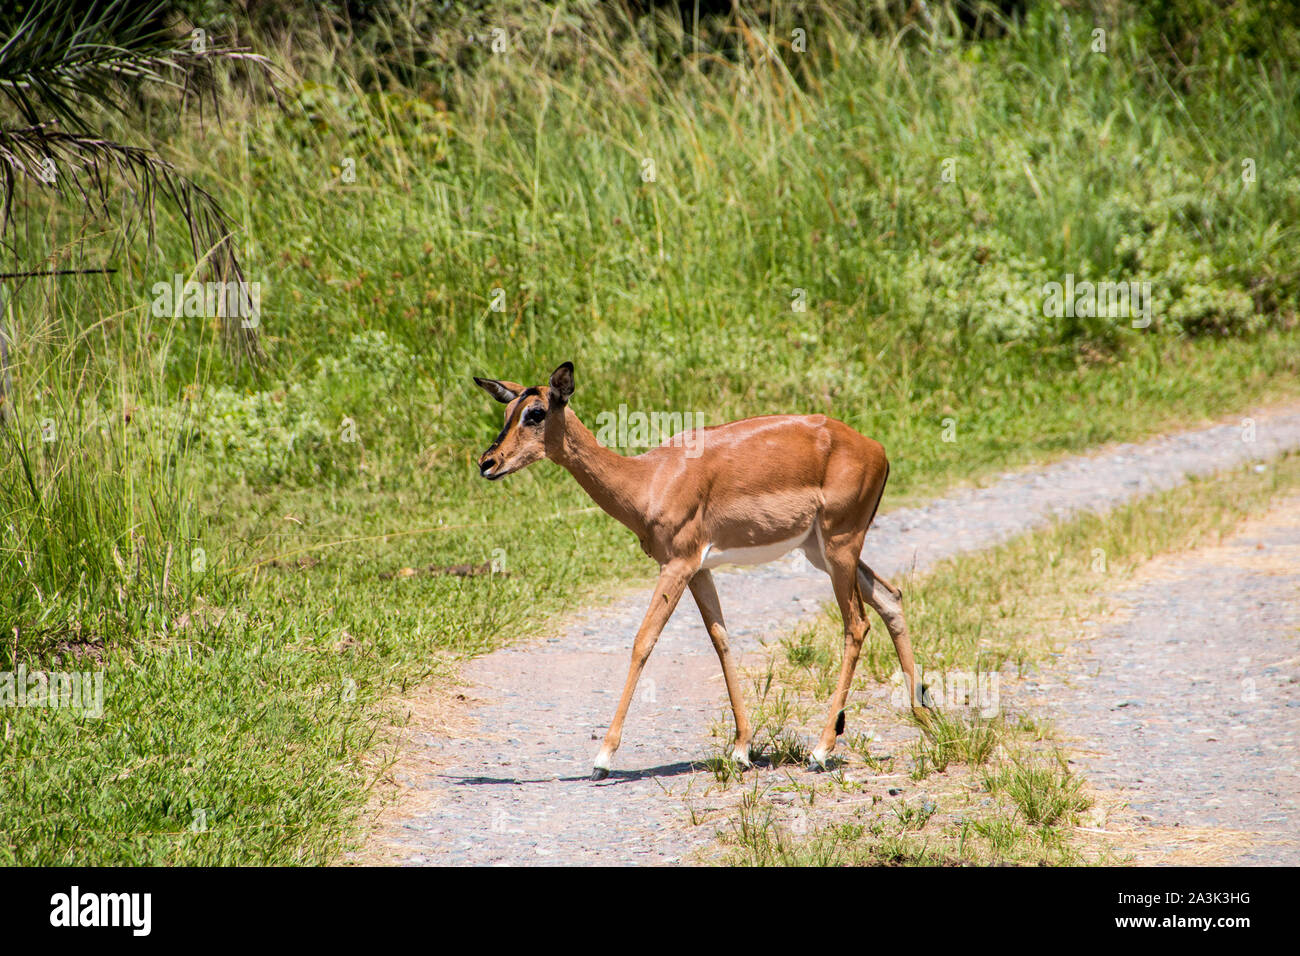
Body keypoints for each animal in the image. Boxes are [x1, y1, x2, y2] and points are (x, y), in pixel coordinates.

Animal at [475, 362, 927, 780]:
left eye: (536, 412)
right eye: (507, 411)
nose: (487, 462)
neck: (649, 480)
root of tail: (876, 449)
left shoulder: (677, 564)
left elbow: (643, 641)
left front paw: (602, 758)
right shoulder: (699, 570)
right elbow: (720, 639)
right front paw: (741, 749)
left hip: (839, 547)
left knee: (857, 624)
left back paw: (821, 749)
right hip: (821, 551)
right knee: (891, 596)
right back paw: (921, 718)